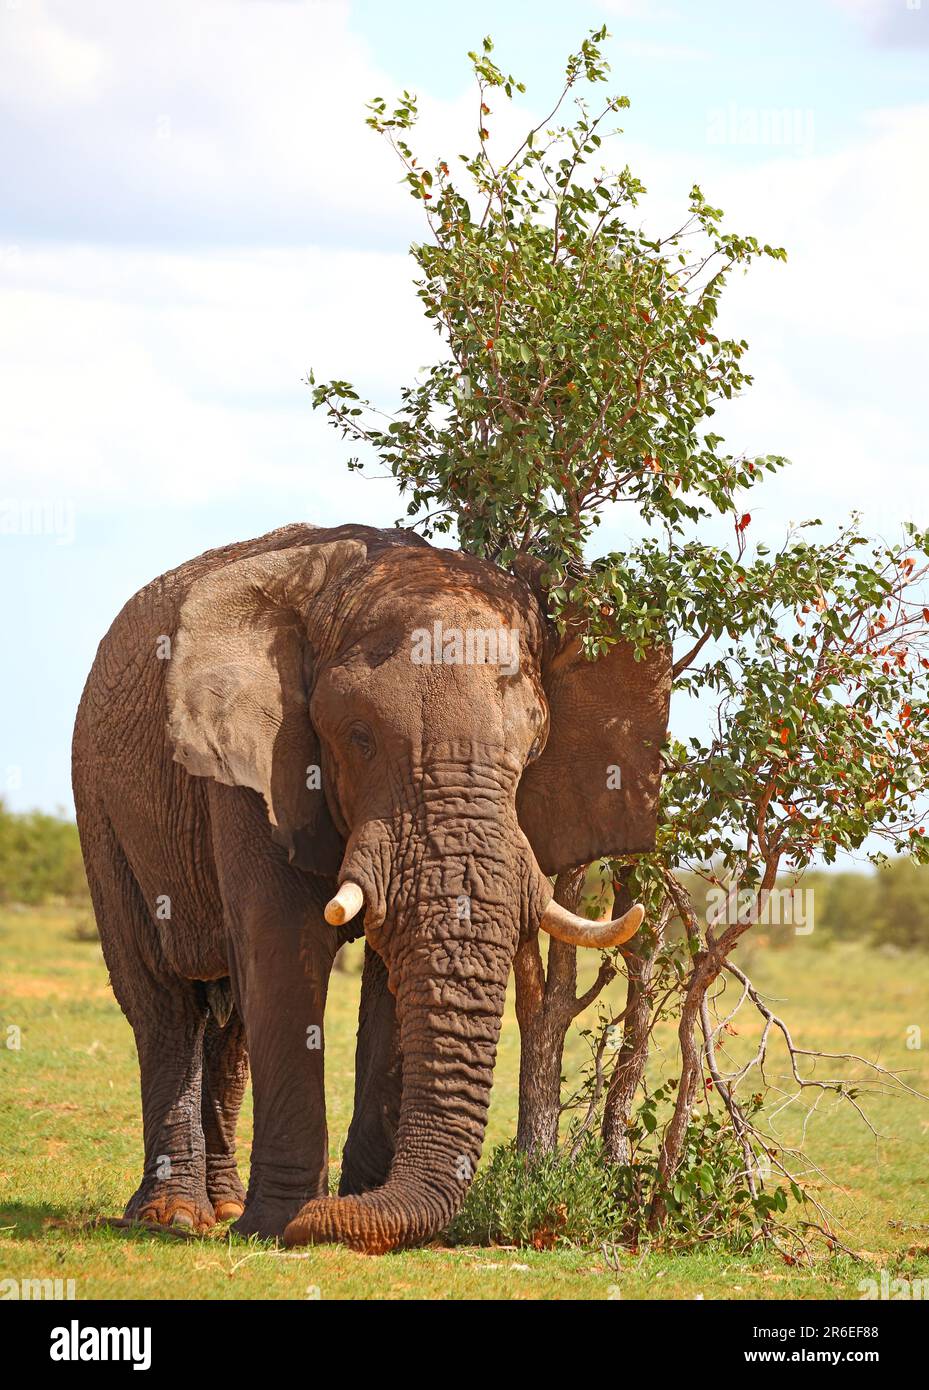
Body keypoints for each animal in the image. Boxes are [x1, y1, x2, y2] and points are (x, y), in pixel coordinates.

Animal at [71, 522, 670, 1252]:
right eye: (358, 738)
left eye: (532, 749)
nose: (323, 1214)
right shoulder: (249, 770)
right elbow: (282, 950)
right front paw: (282, 1225)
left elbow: (385, 983)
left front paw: (338, 1213)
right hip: (99, 801)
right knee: (160, 1002)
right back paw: (174, 1216)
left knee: (231, 1019)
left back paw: (220, 1207)